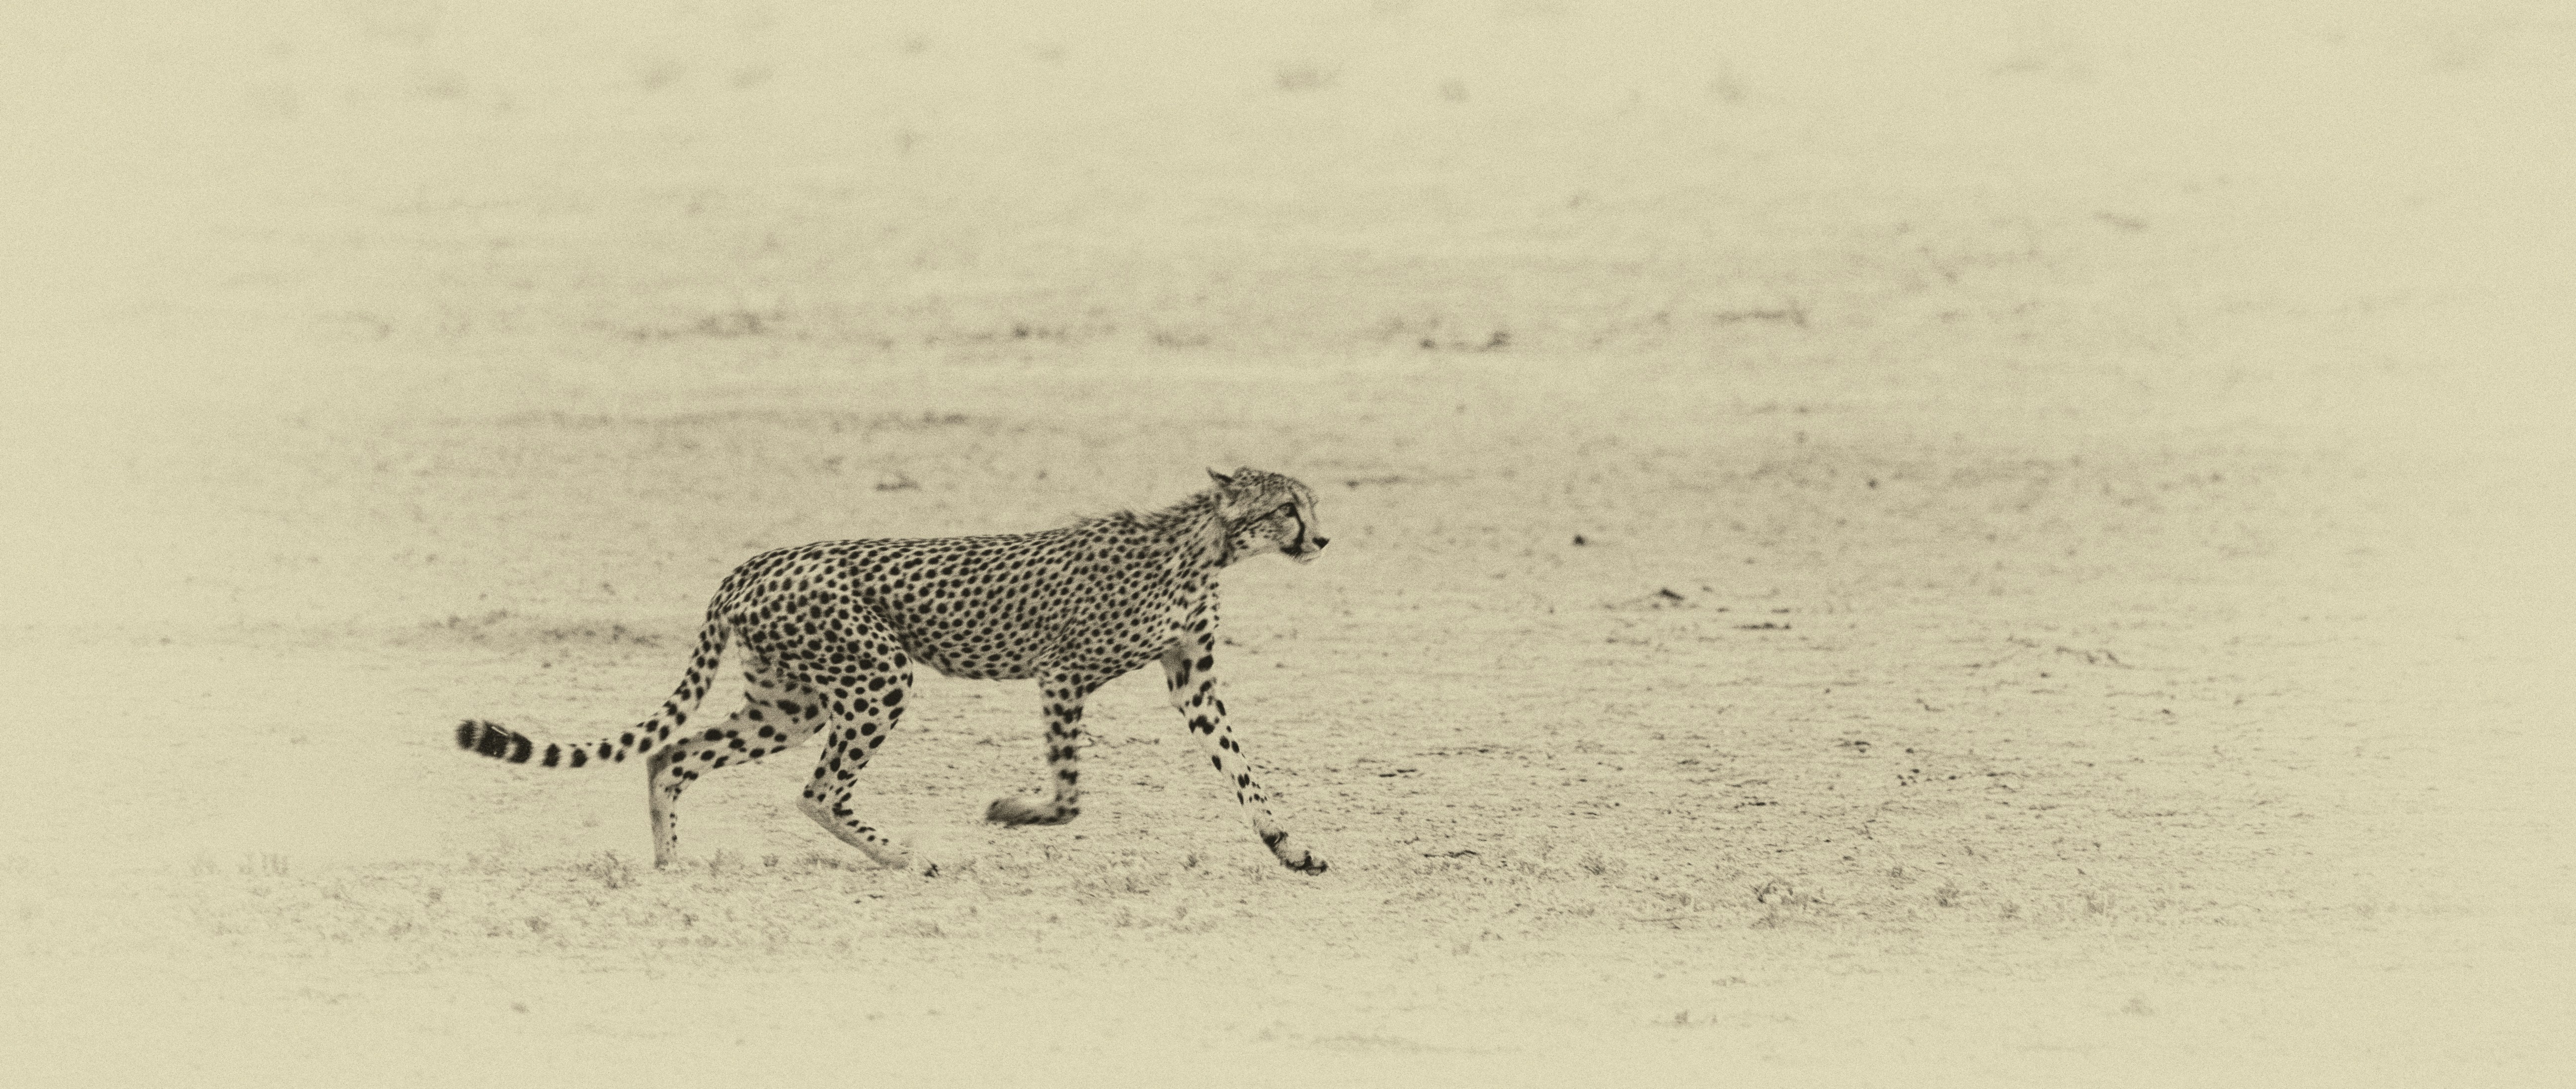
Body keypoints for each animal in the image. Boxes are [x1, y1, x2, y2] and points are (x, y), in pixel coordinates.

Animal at [451, 467, 1330, 877]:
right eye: (1287, 507)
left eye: (1311, 505)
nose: (1322, 540)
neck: (1206, 548)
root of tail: (754, 561)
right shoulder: (1064, 676)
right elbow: (1072, 792)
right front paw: (1013, 811)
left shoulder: (1194, 683)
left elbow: (1242, 773)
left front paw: (1290, 848)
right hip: (878, 676)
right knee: (816, 791)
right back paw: (909, 856)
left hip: (793, 702)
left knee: (673, 755)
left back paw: (671, 866)